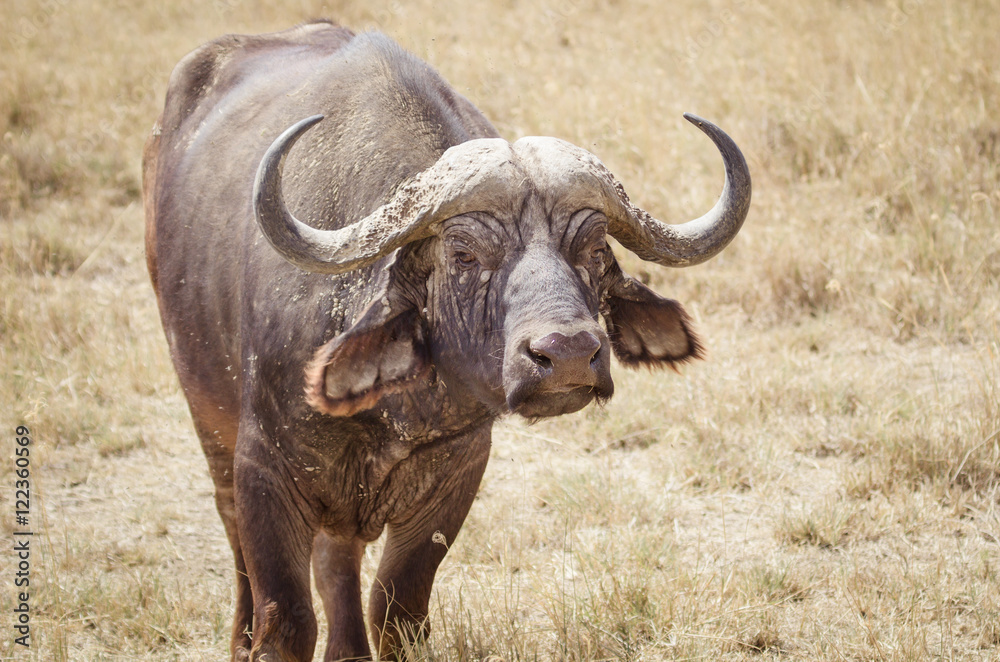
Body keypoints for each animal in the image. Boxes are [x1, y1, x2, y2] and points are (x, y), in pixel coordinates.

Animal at [143, 20, 750, 662]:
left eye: (591, 249)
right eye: (464, 254)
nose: (566, 356)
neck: (391, 409)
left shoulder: (456, 474)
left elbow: (398, 609)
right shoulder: (265, 470)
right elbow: (285, 619)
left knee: (338, 559)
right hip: (207, 415)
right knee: (232, 528)